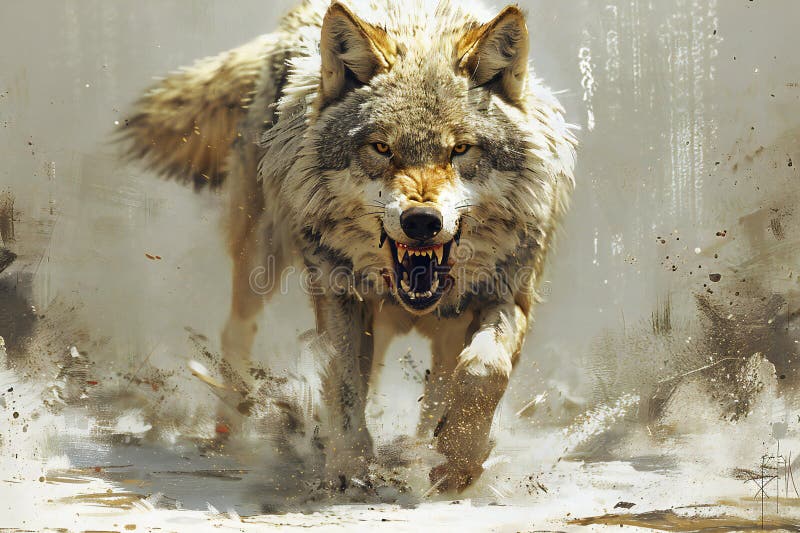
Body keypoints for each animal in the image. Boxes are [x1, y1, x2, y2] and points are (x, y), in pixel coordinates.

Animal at [122, 0, 576, 492]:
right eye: (381, 147)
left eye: (460, 150)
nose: (421, 222)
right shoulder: (339, 293)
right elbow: (342, 384)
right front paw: (349, 470)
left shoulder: (509, 291)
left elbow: (482, 371)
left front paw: (455, 461)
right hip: (262, 257)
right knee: (237, 333)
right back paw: (232, 437)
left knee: (430, 383)